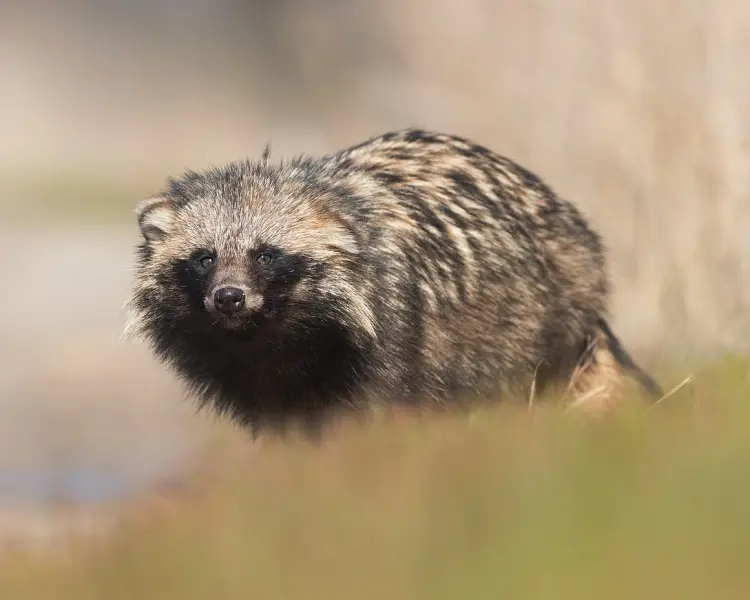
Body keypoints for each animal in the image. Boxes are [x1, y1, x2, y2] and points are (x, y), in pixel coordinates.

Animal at [125, 128, 662, 435]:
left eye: (267, 254)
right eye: (204, 258)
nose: (230, 298)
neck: (276, 346)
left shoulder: (393, 344)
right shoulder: (262, 393)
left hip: (533, 331)